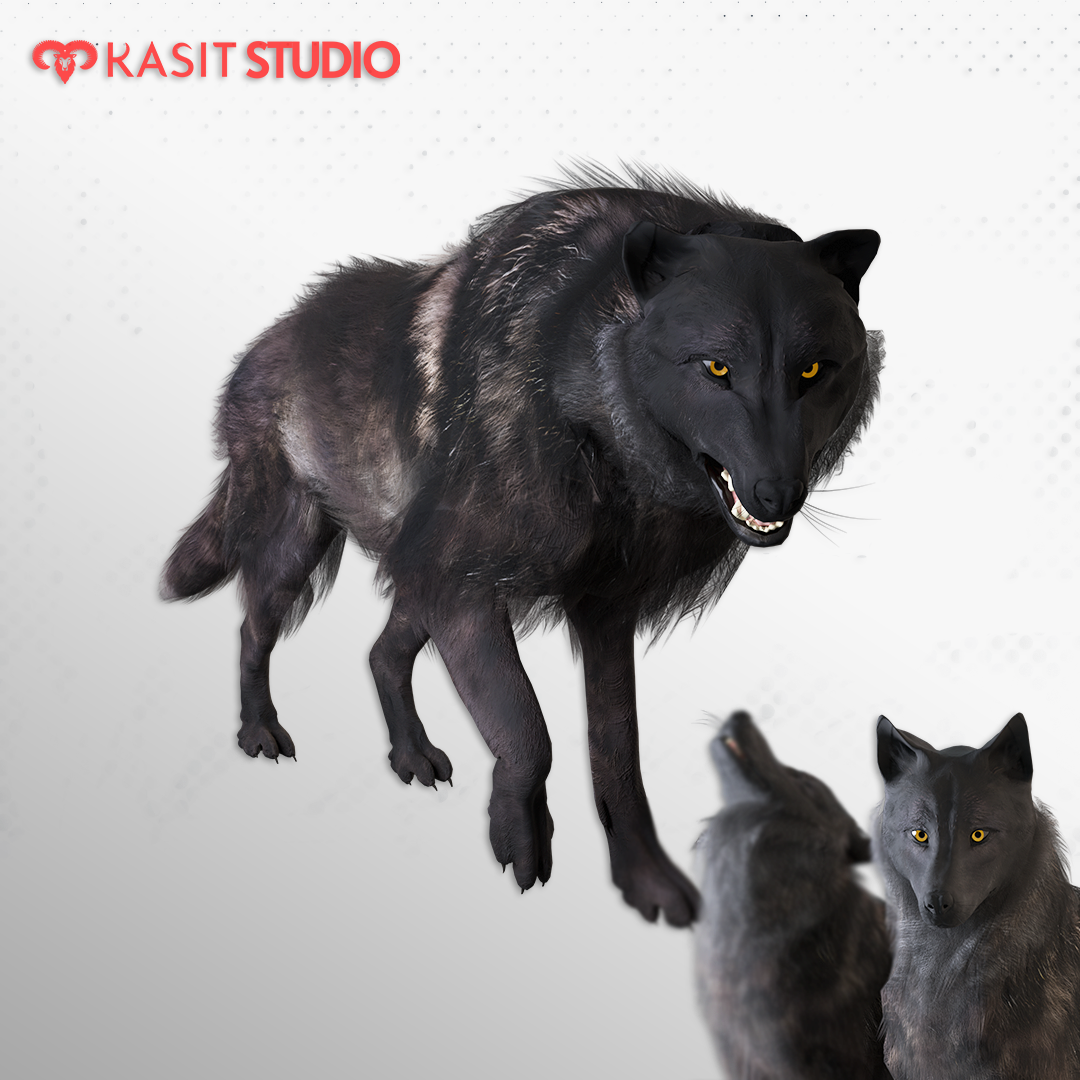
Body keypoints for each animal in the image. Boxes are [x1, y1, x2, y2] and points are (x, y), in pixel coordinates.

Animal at [161, 165, 881, 926]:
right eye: (716, 368)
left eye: (814, 372)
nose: (777, 495)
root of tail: (264, 341)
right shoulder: (466, 591)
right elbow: (527, 729)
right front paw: (521, 840)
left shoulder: (601, 611)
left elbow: (616, 753)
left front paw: (645, 880)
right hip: (305, 551)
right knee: (253, 629)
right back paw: (259, 734)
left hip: (416, 579)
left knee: (382, 654)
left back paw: (411, 755)